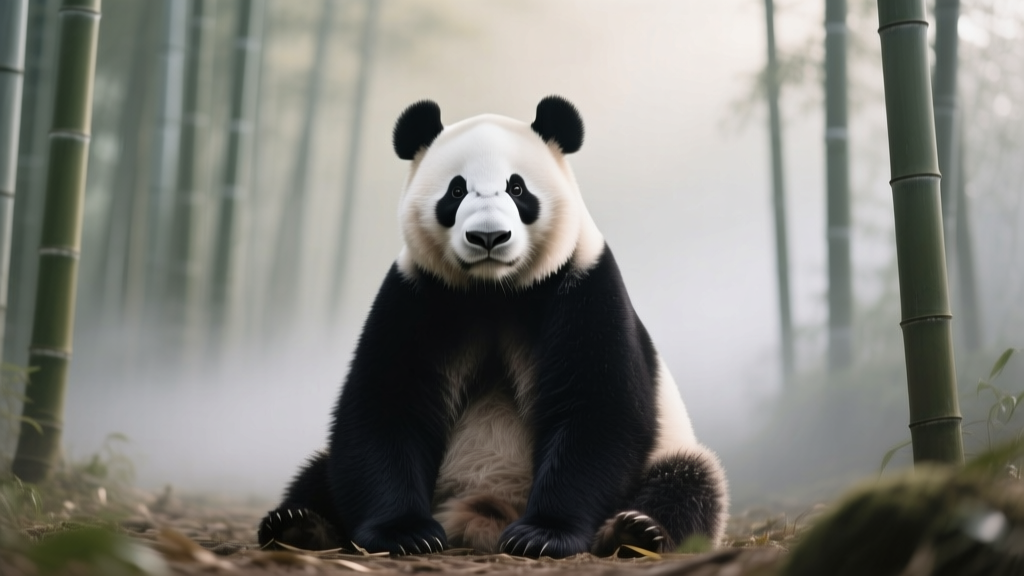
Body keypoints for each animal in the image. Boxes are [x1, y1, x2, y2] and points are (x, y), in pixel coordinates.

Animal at [257, 96, 728, 558]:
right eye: (456, 189)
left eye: (517, 189)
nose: (489, 237)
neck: (494, 290)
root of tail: (483, 513)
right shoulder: (417, 294)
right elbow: (386, 405)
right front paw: (405, 533)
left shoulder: (583, 284)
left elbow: (596, 407)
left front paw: (542, 534)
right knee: (319, 472)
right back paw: (299, 526)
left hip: (672, 448)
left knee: (689, 480)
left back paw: (634, 532)